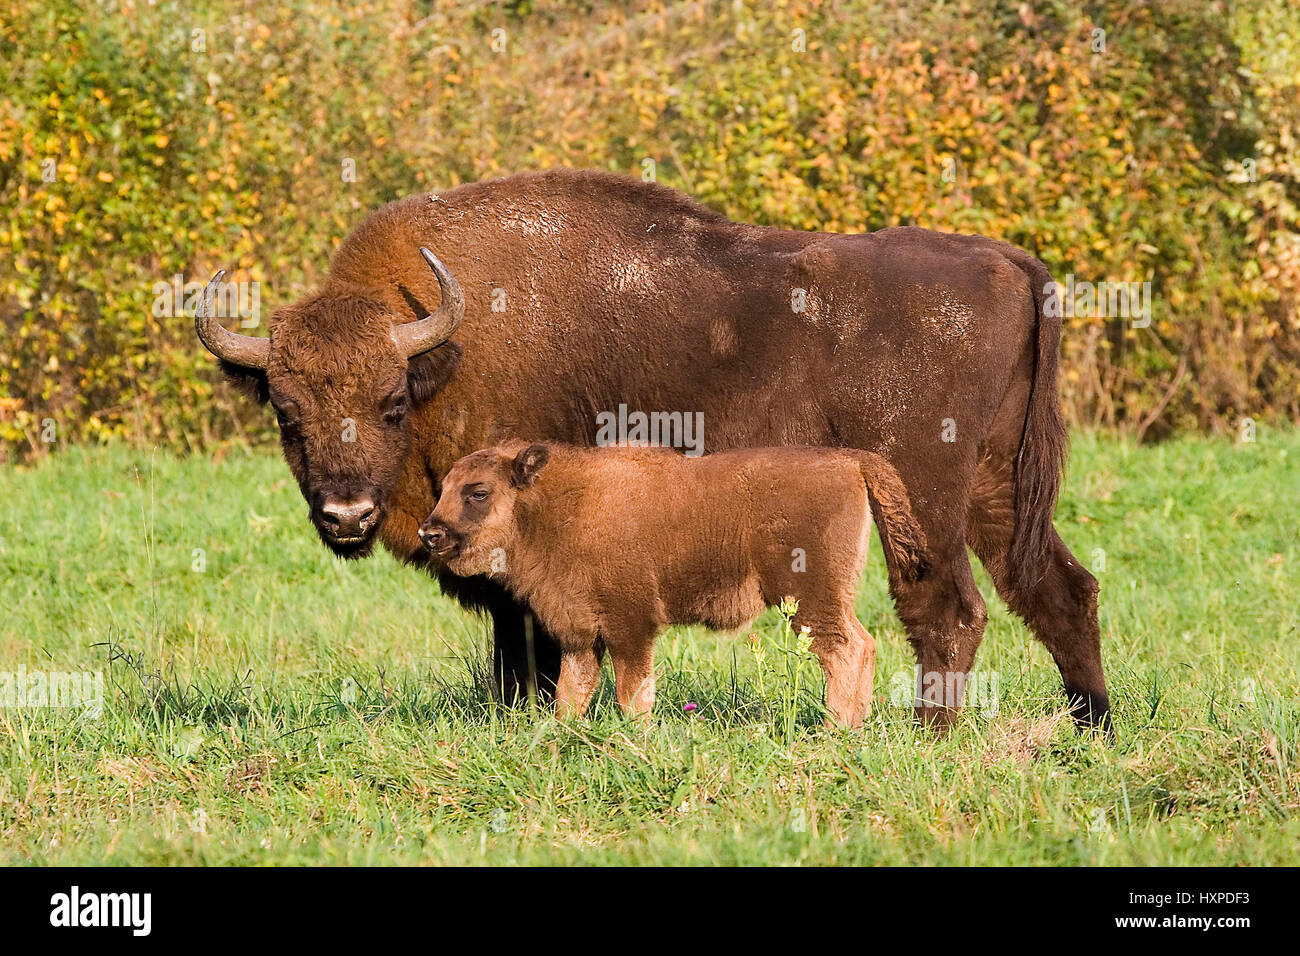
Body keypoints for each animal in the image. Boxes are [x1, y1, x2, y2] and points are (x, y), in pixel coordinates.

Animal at [417, 441, 929, 726]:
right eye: (443, 488)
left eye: (478, 492)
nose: (430, 533)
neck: (556, 505)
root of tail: (851, 461)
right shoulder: (580, 635)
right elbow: (570, 694)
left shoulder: (630, 627)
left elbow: (632, 695)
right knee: (862, 644)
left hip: (810, 598)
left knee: (845, 649)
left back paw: (833, 730)